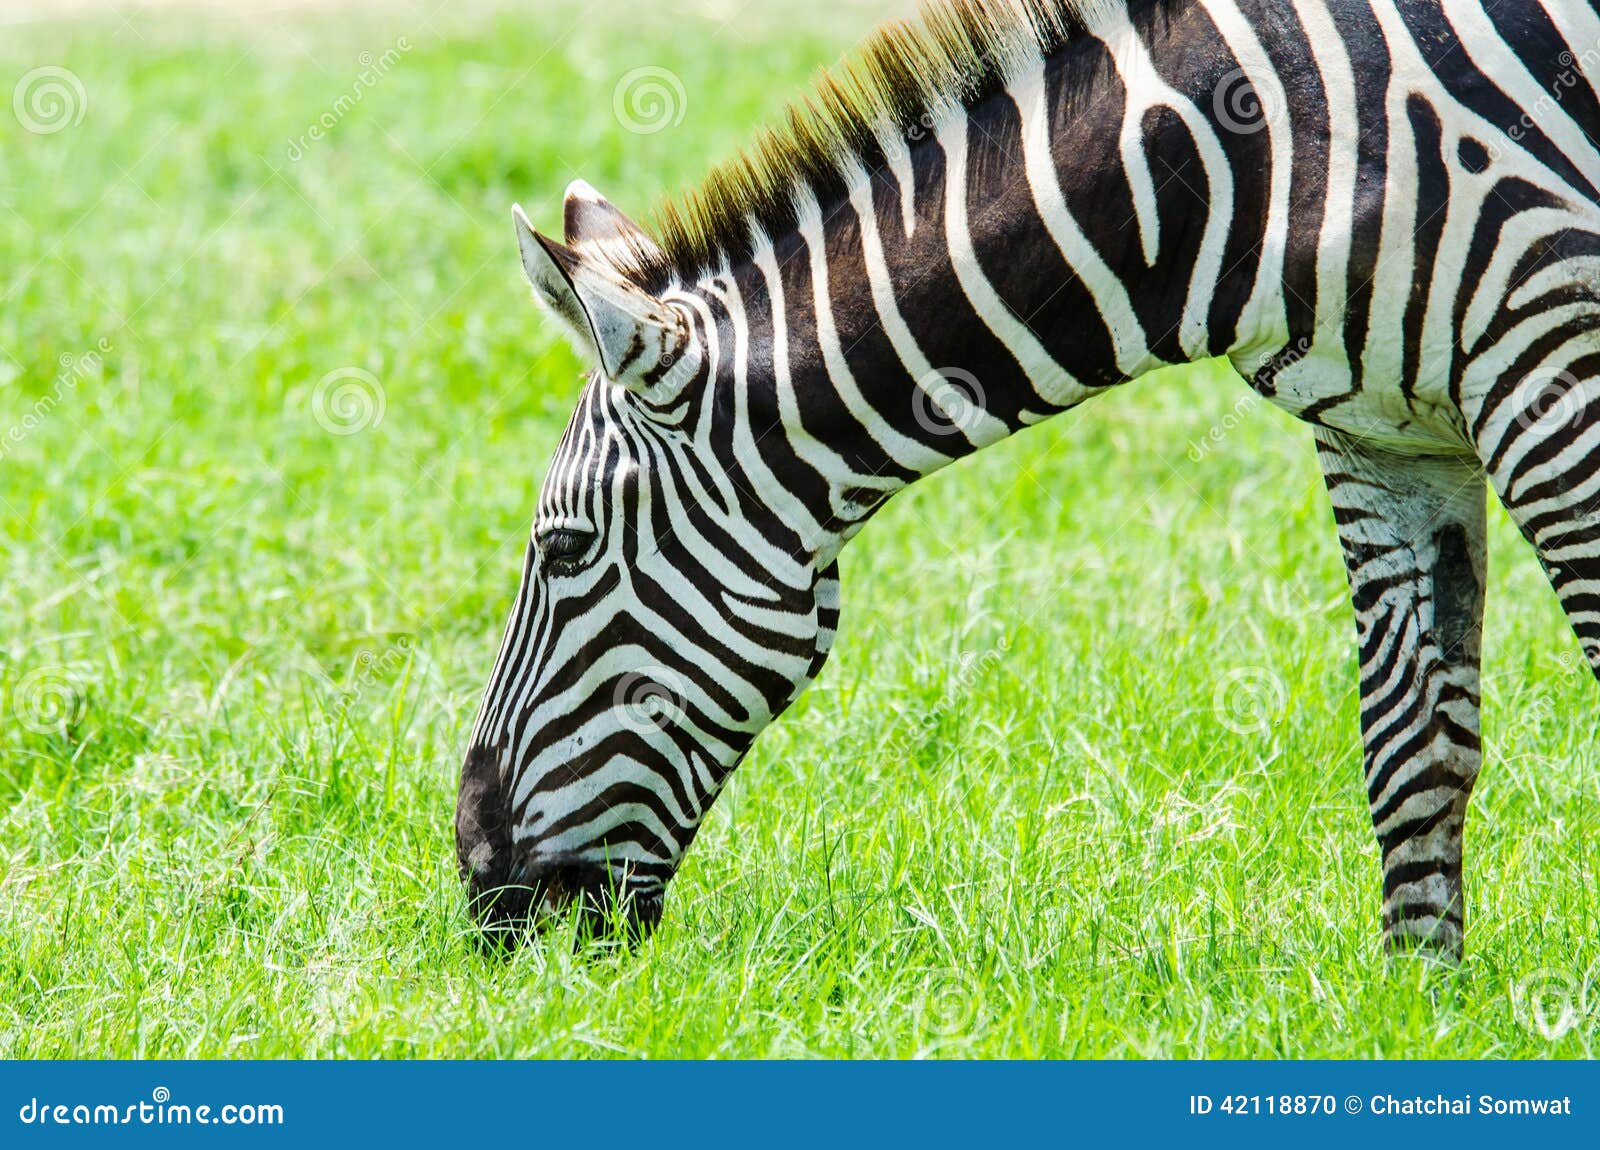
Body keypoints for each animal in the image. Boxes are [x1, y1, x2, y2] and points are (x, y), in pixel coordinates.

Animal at [456, 0, 1600, 959]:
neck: (1250, 162)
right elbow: (1412, 741)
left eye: (564, 548)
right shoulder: (1379, 439)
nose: (480, 891)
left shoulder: (1548, 354)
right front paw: (1421, 994)